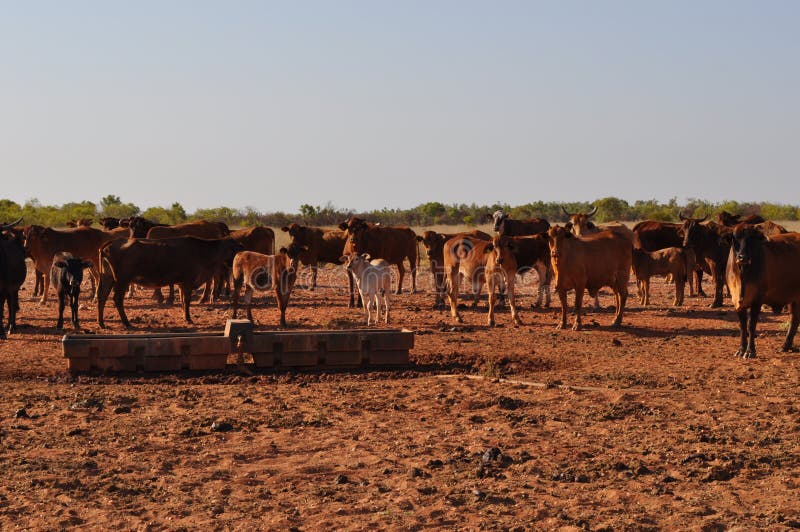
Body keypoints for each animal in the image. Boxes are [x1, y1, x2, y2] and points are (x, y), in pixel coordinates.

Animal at [97, 236, 243, 329]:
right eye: (236, 248)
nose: (243, 252)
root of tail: (113, 241)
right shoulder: (188, 281)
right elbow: (187, 300)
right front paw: (188, 318)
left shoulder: (181, 283)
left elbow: (183, 301)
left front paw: (185, 317)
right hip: (122, 280)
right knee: (117, 299)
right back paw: (126, 323)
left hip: (108, 278)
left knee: (102, 298)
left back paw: (102, 324)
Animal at [727, 225, 800, 358]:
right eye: (735, 238)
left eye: (752, 239)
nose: (743, 257)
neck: (742, 275)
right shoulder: (737, 301)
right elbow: (743, 326)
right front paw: (741, 349)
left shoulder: (757, 300)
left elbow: (751, 325)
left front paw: (750, 351)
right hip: (794, 299)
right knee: (794, 320)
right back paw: (785, 346)